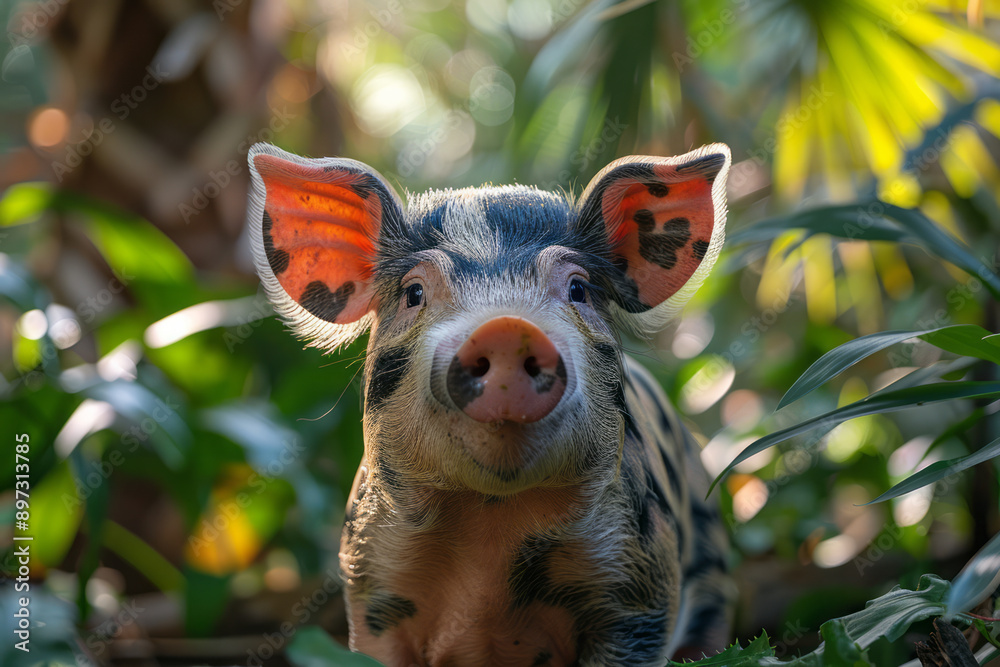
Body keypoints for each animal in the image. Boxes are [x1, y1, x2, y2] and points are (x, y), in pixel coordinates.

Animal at [246, 142, 734, 666]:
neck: (491, 526)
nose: (506, 328)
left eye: (578, 289)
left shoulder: (638, 587)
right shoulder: (370, 579)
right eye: (414, 293)